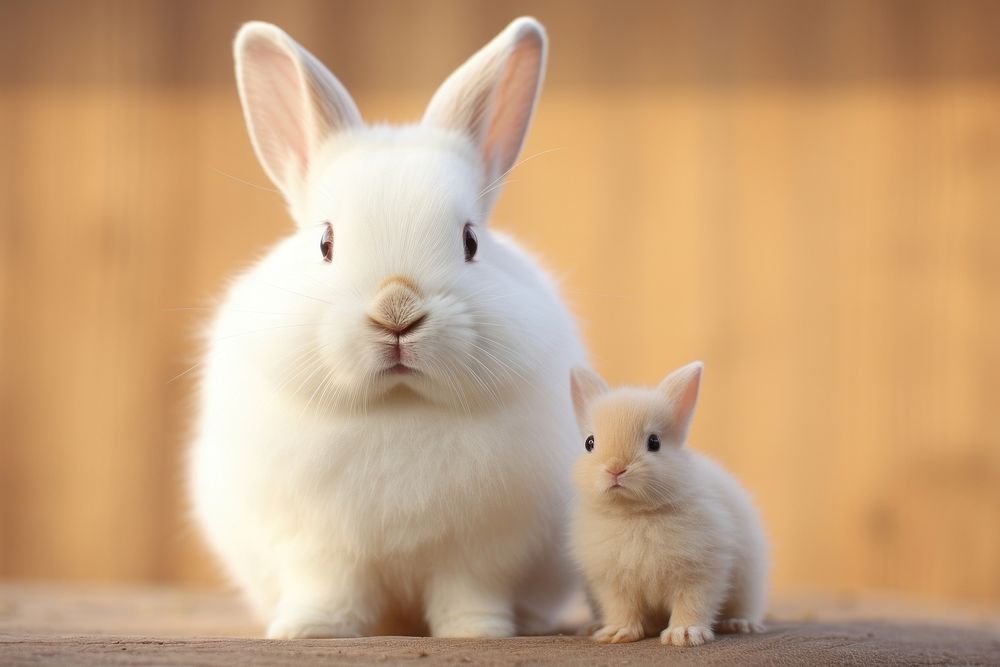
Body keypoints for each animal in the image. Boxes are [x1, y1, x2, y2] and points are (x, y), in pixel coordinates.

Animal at [188, 17, 587, 639]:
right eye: (325, 242)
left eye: (471, 241)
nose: (397, 310)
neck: (400, 403)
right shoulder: (317, 546)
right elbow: (326, 588)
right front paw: (311, 630)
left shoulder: (483, 549)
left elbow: (471, 591)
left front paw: (478, 632)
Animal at [568, 362, 768, 646]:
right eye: (590, 443)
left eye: (654, 442)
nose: (616, 468)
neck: (635, 514)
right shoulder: (612, 583)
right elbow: (621, 608)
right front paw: (616, 633)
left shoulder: (699, 572)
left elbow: (691, 604)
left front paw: (684, 635)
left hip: (749, 583)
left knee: (745, 606)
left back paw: (741, 624)